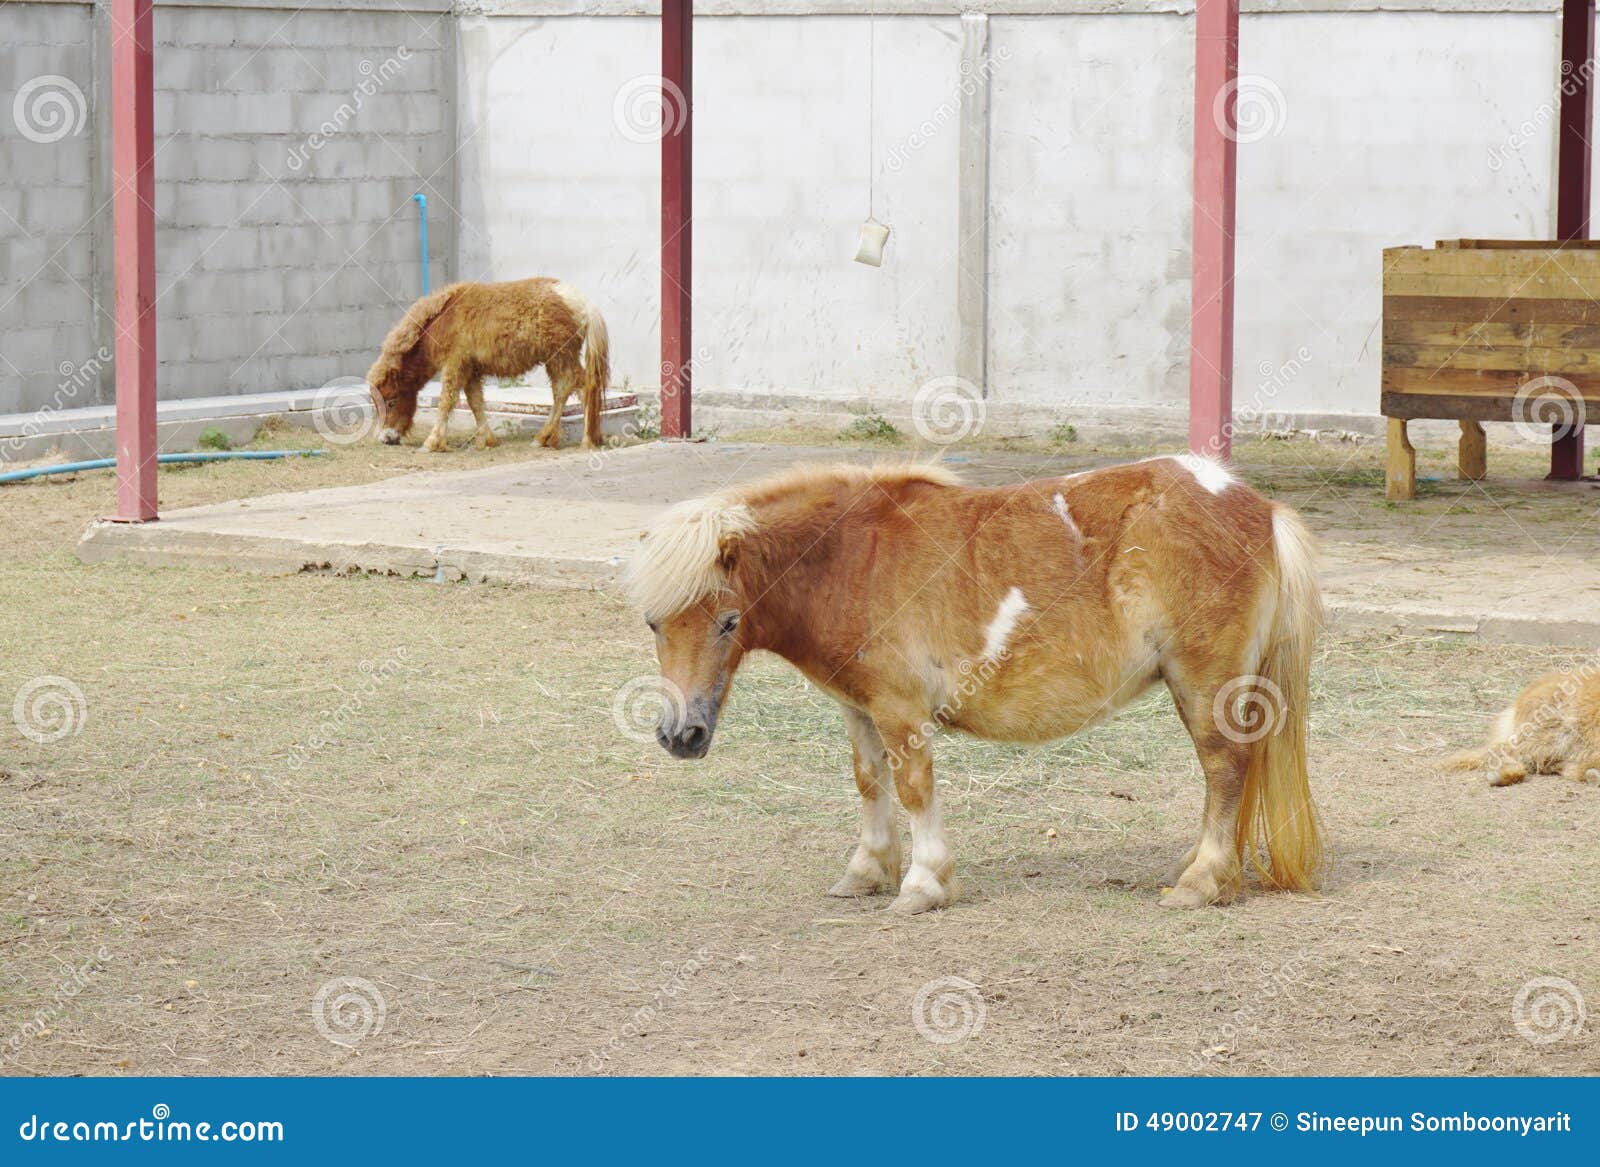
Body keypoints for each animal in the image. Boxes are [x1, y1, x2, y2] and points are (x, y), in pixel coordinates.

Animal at [366, 277, 609, 451]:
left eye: (391, 402)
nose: (385, 438)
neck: (444, 318)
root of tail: (579, 301)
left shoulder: (456, 364)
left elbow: (446, 401)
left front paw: (432, 442)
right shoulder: (471, 370)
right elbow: (475, 403)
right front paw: (488, 440)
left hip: (561, 357)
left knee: (577, 386)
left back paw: (574, 439)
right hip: (557, 359)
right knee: (572, 389)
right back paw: (566, 438)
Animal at [625, 456, 1327, 913]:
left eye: (728, 621)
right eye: (653, 622)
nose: (681, 735)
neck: (853, 558)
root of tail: (1259, 507)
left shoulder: (900, 710)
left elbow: (913, 788)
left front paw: (922, 886)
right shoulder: (861, 709)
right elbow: (869, 783)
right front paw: (867, 872)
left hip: (1205, 685)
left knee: (1225, 768)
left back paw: (1201, 882)